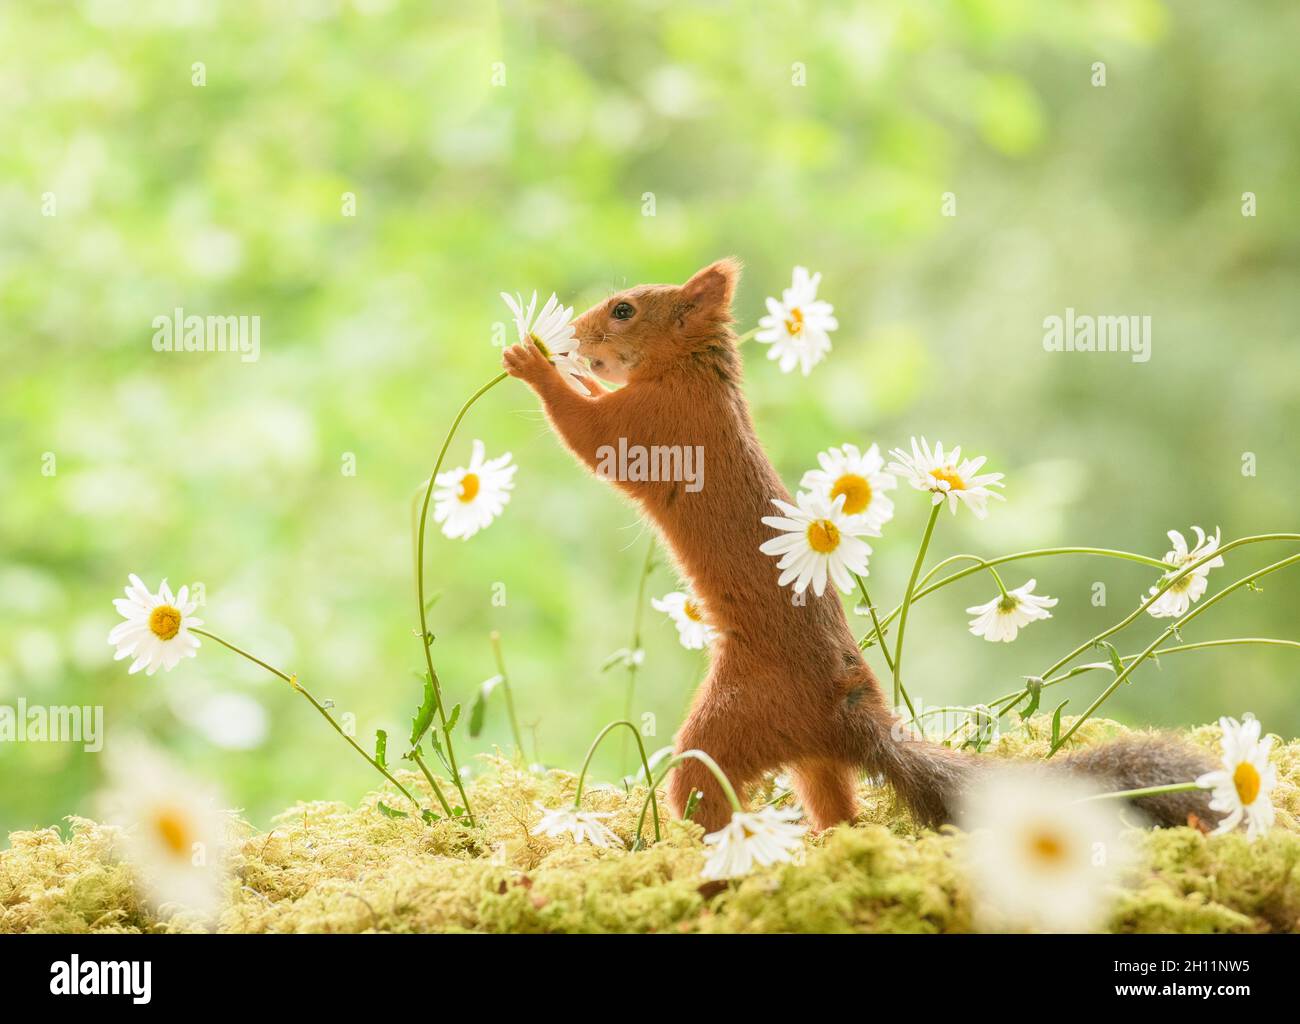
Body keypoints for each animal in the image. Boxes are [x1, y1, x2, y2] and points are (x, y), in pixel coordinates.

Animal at [502, 258, 1220, 834]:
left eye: (623, 310)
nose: (573, 336)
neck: (692, 373)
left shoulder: (655, 427)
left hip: (731, 721)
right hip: (812, 760)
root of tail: (849, 716)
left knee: (707, 794)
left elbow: (588, 434)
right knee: (837, 807)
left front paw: (534, 365)